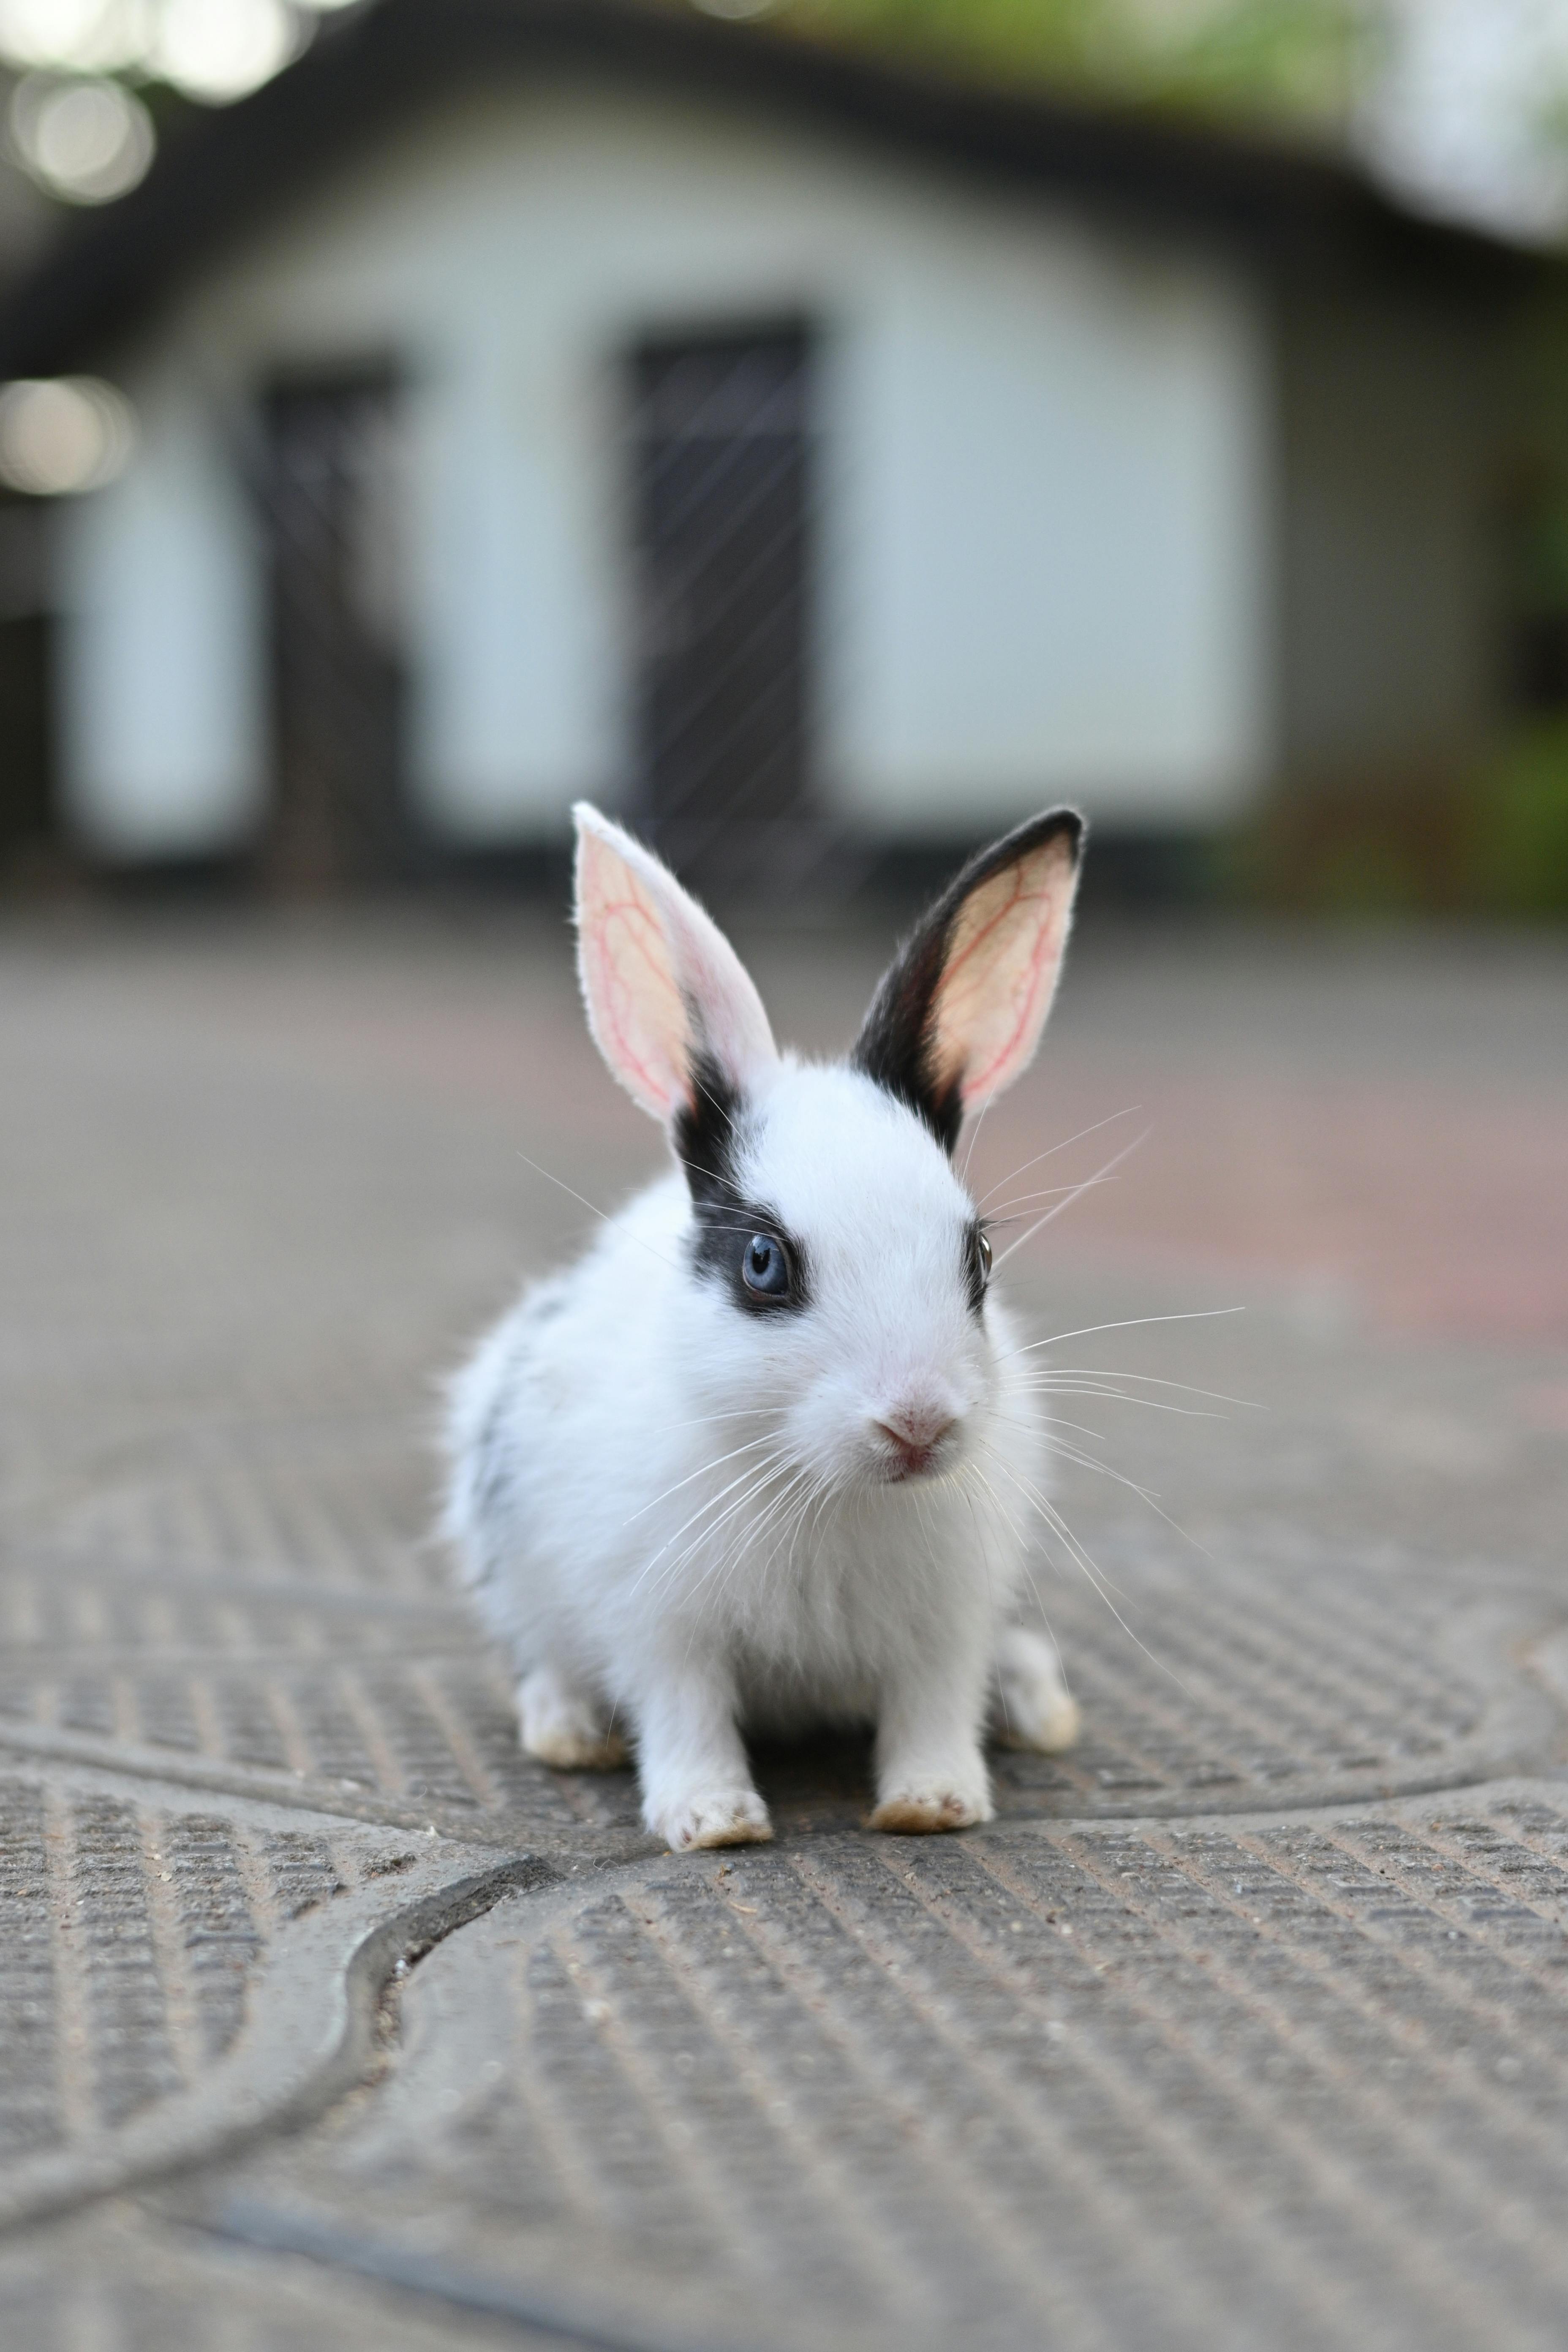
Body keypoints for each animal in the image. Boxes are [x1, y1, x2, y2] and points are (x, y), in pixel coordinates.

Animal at [443, 802, 1085, 1851]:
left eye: (979, 1257)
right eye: (763, 1264)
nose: (916, 1424)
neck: (825, 1487)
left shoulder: (946, 1625)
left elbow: (934, 1708)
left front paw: (933, 1807)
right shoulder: (660, 1623)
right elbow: (686, 1714)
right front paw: (712, 1820)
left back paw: (1040, 1707)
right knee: (548, 1666)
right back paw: (569, 1734)